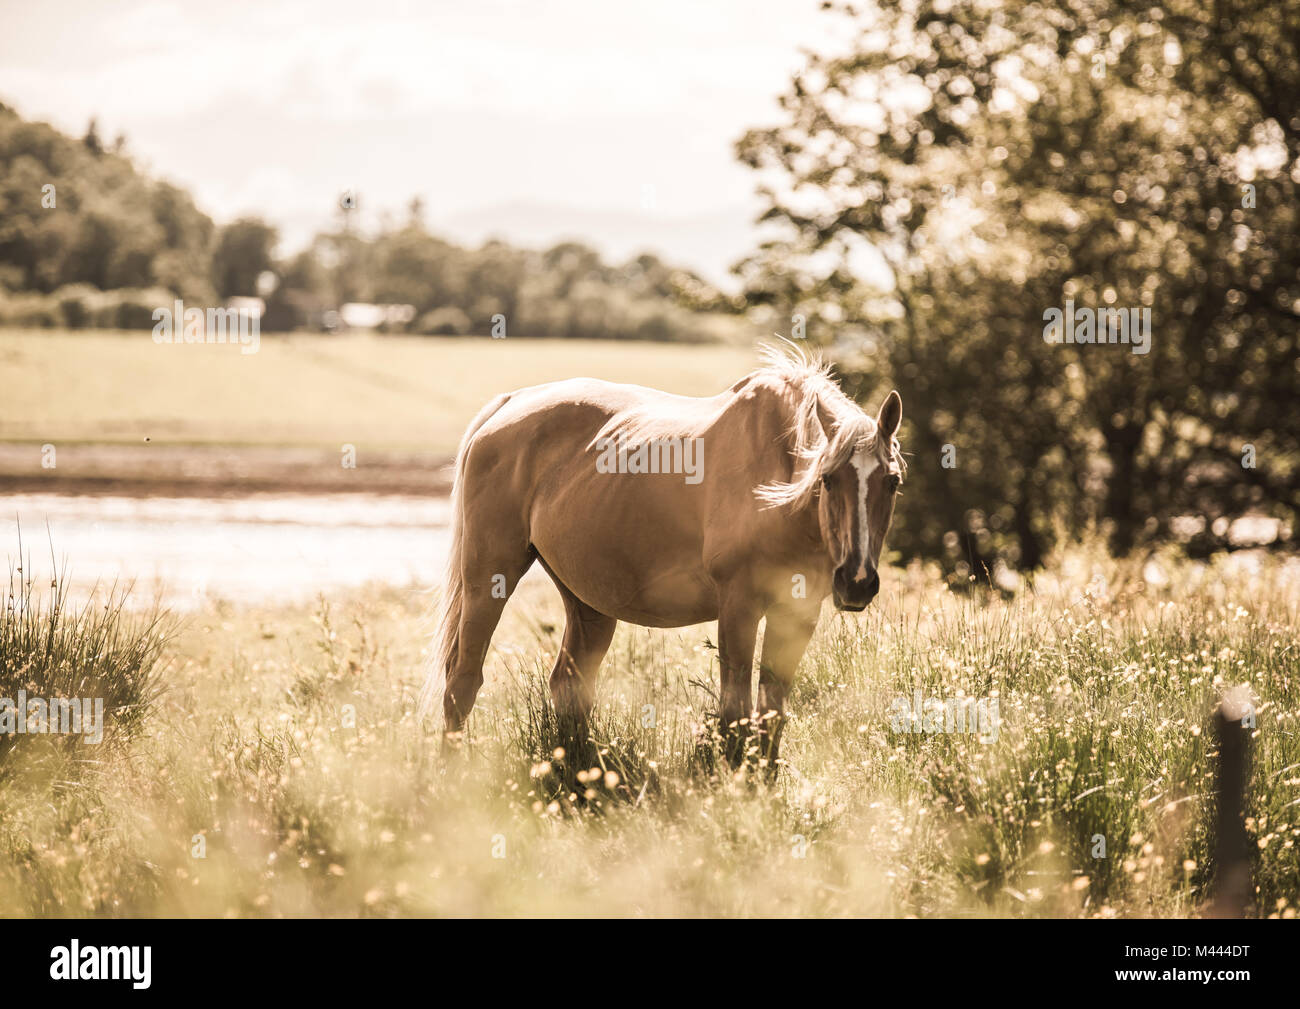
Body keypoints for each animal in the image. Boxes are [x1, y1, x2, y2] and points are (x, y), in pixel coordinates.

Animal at [418, 344, 905, 770]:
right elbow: (735, 713)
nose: (858, 582)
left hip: (587, 603)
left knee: (569, 687)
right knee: (462, 682)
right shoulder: (738, 608)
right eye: (827, 479)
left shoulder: (797, 614)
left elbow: (771, 715)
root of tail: (509, 405)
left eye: (893, 481)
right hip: (488, 578)